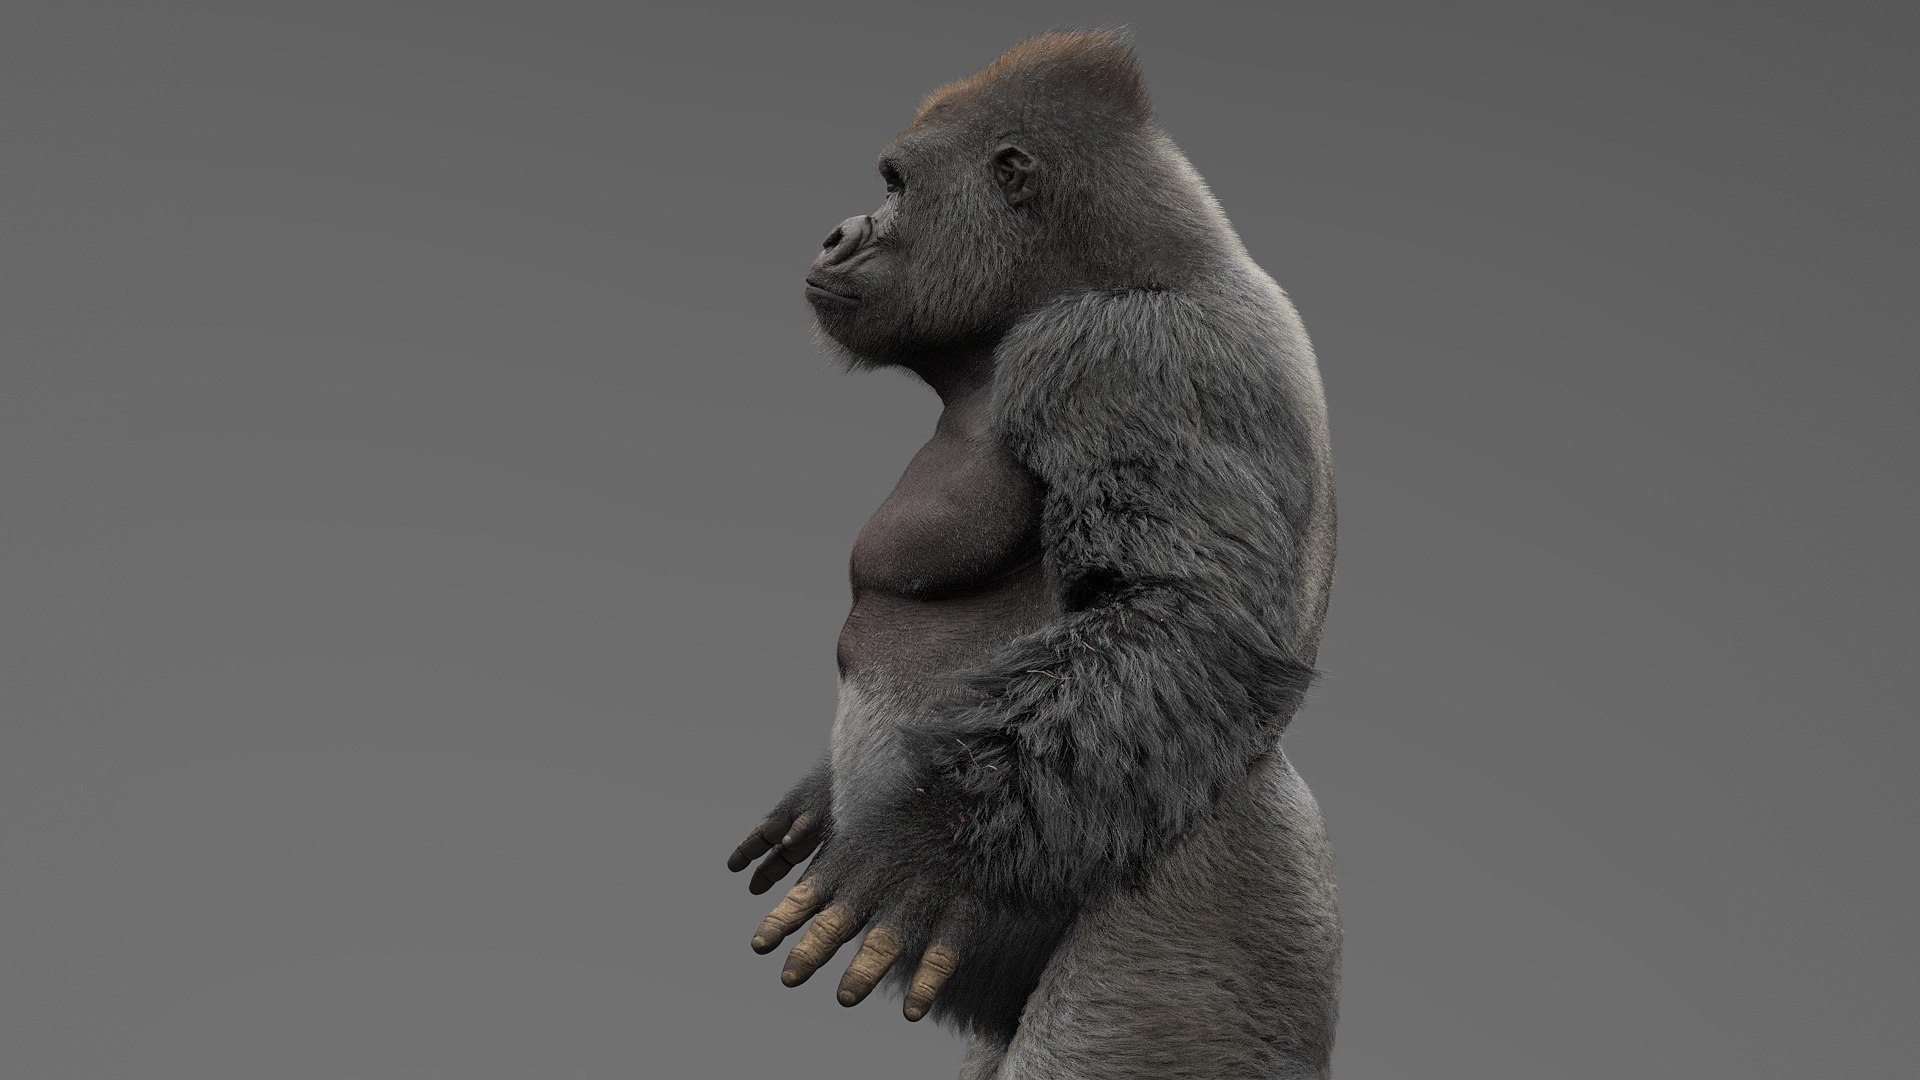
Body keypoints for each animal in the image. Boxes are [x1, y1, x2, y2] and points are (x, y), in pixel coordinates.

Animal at [725, 30, 1341, 1079]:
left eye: (895, 183)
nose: (838, 232)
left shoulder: (1124, 354)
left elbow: (1172, 615)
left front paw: (929, 844)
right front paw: (815, 803)